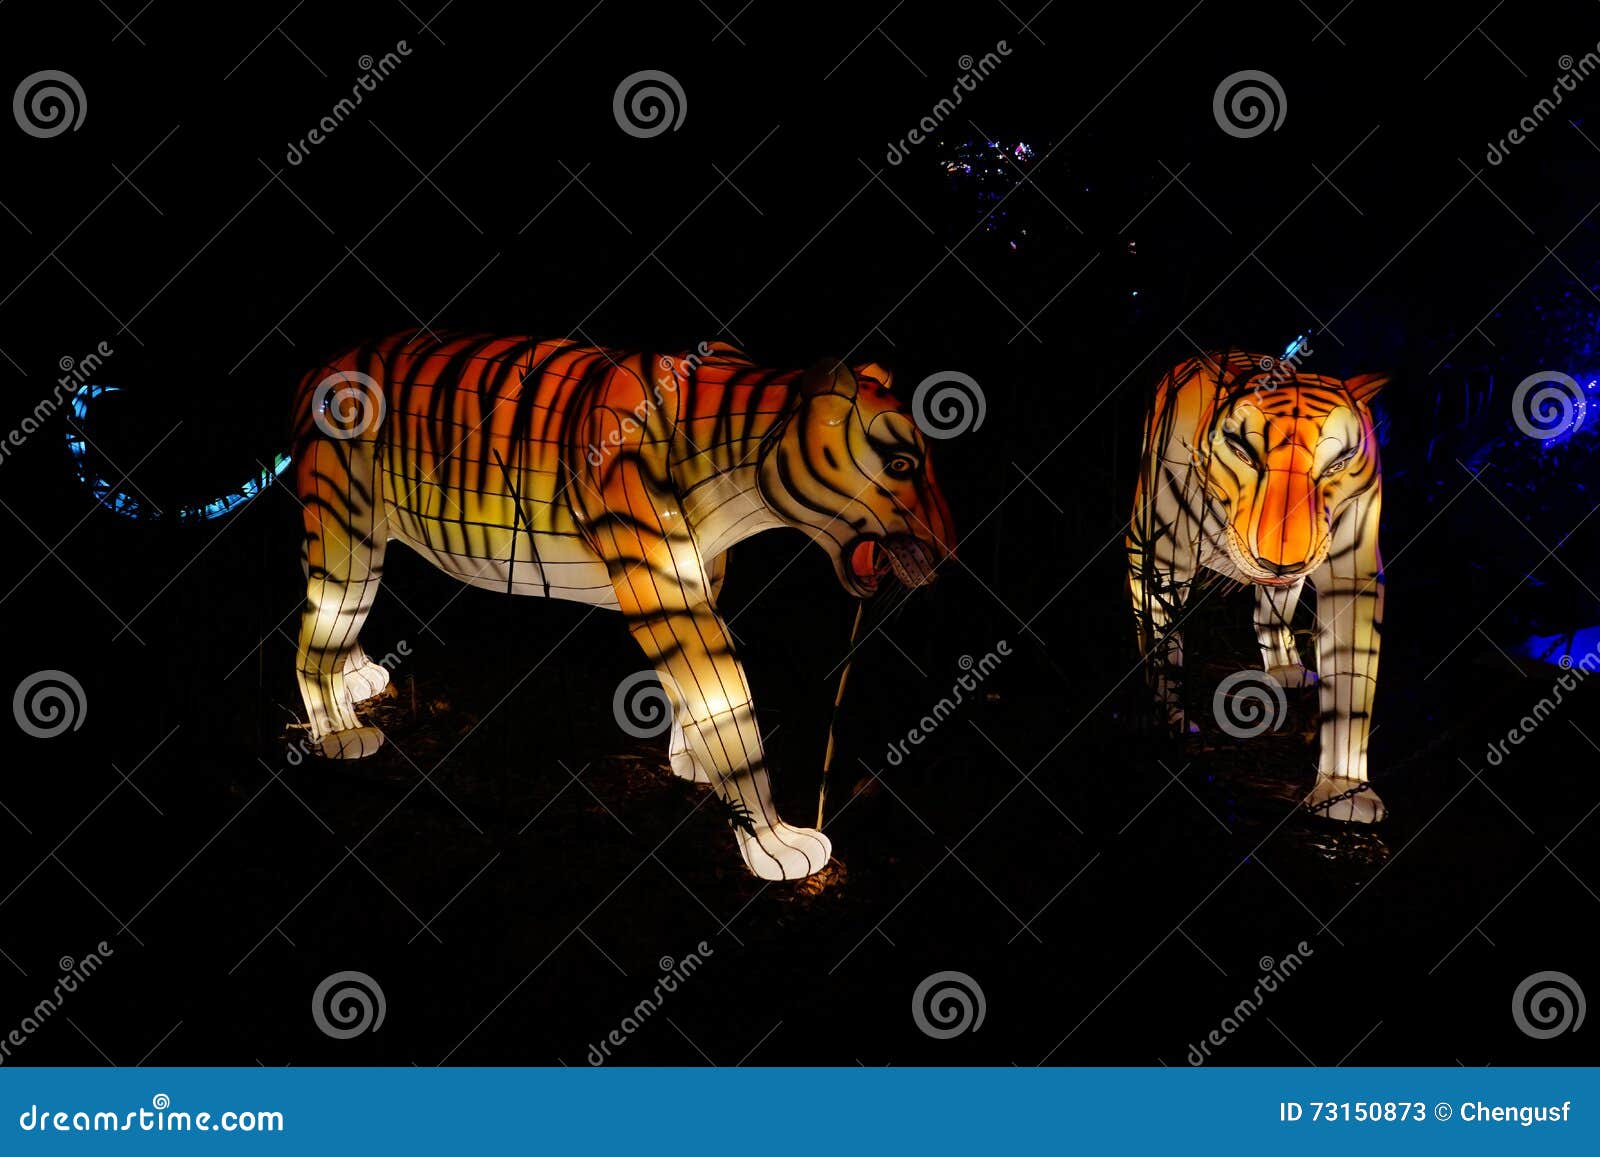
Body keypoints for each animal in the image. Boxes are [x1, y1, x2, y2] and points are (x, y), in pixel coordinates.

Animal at [73, 331, 956, 880]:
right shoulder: (670, 593)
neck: (745, 465)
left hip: (362, 542)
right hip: (346, 534)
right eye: (902, 462)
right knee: (307, 638)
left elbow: (697, 701)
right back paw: (339, 733)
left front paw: (691, 763)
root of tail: (313, 370)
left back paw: (360, 681)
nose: (948, 550)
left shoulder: (696, 580)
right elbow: (728, 706)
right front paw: (776, 845)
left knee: (328, 627)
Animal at [1126, 349, 1388, 823]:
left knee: (1271, 609)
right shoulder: (1159, 557)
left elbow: (1351, 682)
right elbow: (1162, 645)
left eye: (1337, 464)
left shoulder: (1351, 575)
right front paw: (1167, 722)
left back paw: (1285, 667)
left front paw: (1344, 792)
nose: (1278, 561)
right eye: (1242, 451)